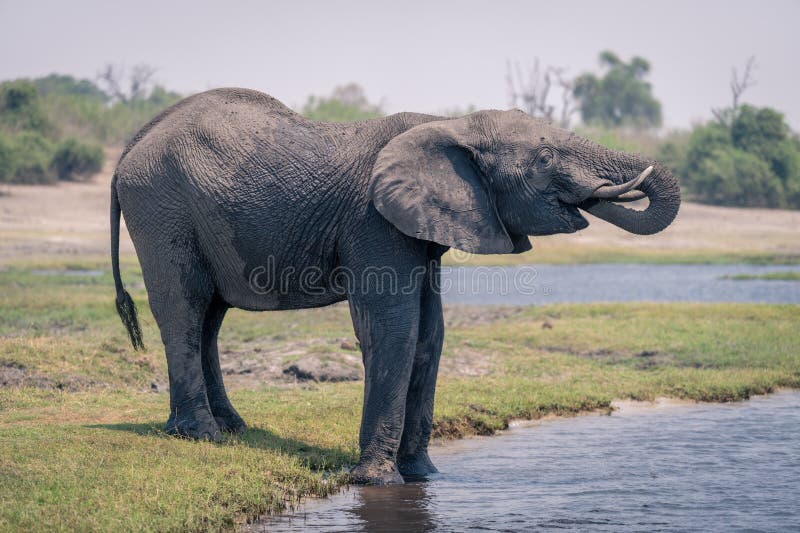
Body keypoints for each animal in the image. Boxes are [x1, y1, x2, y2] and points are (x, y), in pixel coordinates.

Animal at [110, 88, 679, 485]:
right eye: (543, 160)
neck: (450, 123)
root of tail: (129, 147)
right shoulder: (374, 223)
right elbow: (394, 331)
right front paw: (377, 482)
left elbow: (431, 336)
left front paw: (426, 477)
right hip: (161, 208)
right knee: (184, 309)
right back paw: (203, 435)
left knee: (210, 316)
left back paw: (230, 428)